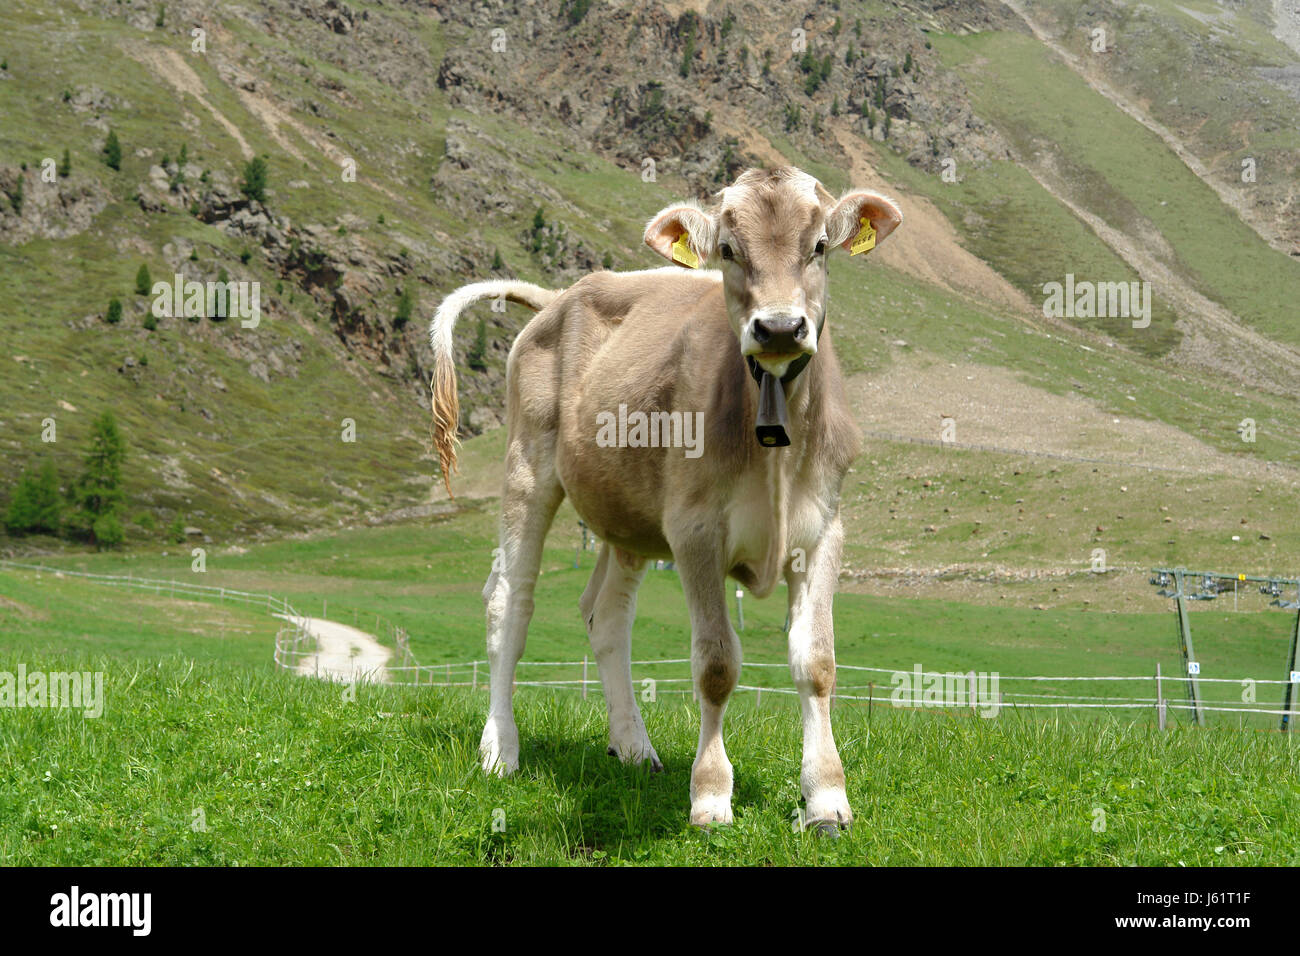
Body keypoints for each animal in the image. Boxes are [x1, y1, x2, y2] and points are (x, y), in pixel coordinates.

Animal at [429, 166, 902, 830]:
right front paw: (710, 794)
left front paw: (827, 797)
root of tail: (562, 296)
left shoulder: (823, 533)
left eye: (819, 247)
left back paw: (632, 745)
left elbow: (816, 664)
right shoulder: (695, 531)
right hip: (527, 464)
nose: (780, 328)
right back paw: (501, 747)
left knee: (605, 614)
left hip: (624, 515)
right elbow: (716, 665)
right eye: (727, 249)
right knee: (509, 603)